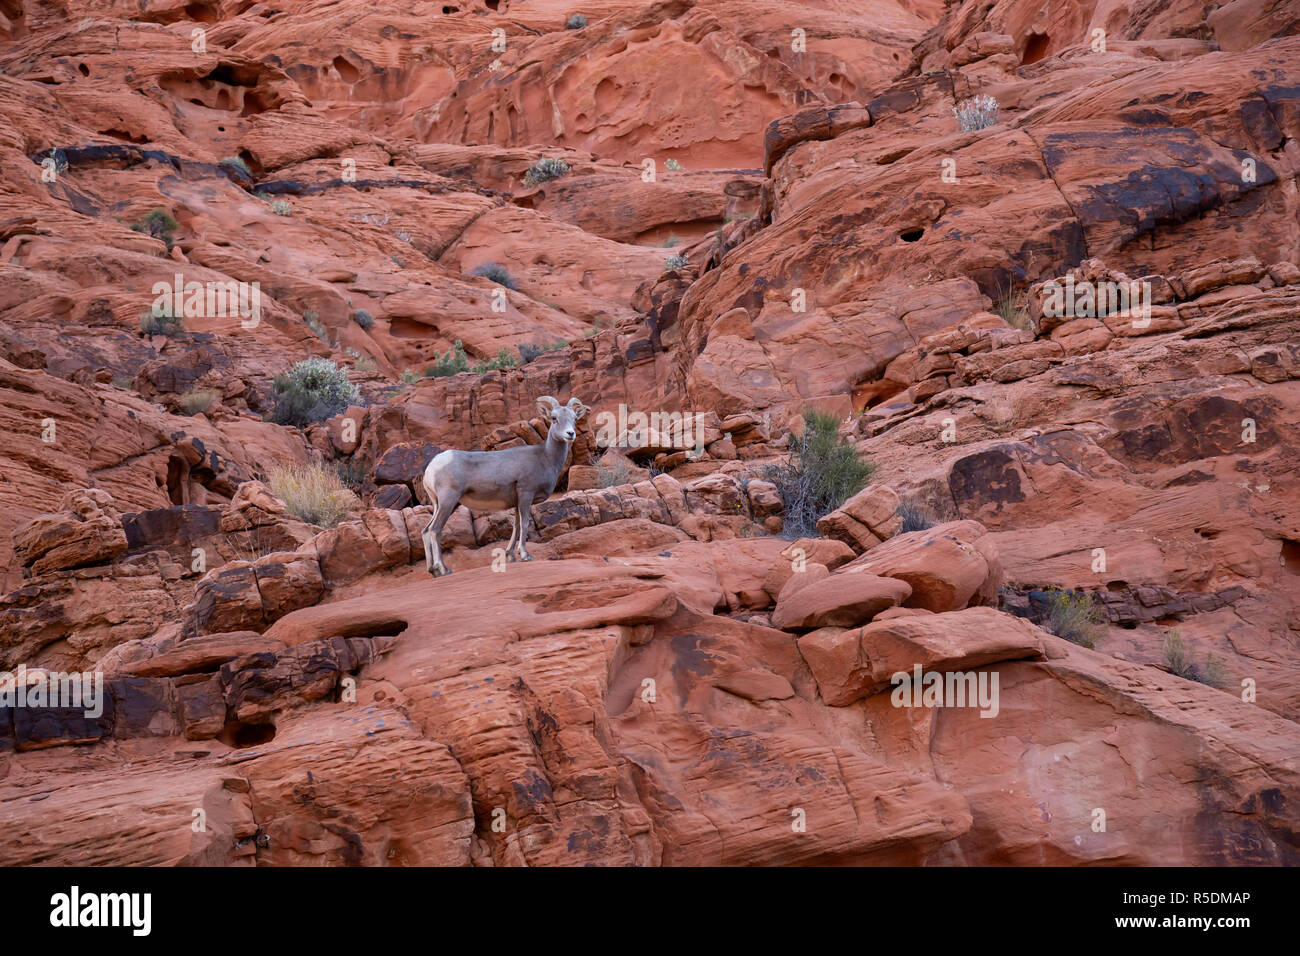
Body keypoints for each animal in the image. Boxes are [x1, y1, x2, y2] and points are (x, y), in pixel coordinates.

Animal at [419, 395, 588, 576]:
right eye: (554, 418)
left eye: (574, 418)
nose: (570, 434)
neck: (545, 458)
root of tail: (431, 467)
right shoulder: (526, 494)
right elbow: (525, 523)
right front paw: (525, 555)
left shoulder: (516, 501)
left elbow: (516, 526)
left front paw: (511, 556)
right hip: (448, 501)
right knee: (435, 530)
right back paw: (444, 570)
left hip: (441, 504)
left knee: (425, 530)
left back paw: (433, 570)